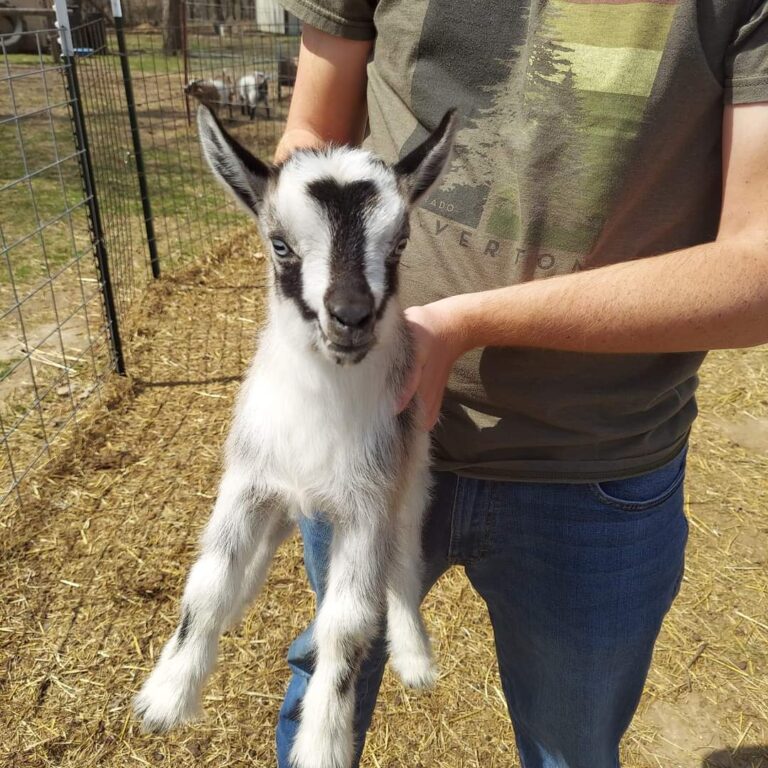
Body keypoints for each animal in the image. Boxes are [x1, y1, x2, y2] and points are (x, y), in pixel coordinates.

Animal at [133, 104, 457, 768]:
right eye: (279, 245)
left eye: (401, 243)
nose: (351, 317)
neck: (321, 402)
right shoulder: (248, 481)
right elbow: (206, 583)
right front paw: (166, 698)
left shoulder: (366, 505)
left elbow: (347, 626)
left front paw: (324, 741)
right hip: (284, 499)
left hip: (410, 481)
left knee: (405, 565)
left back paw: (415, 658)